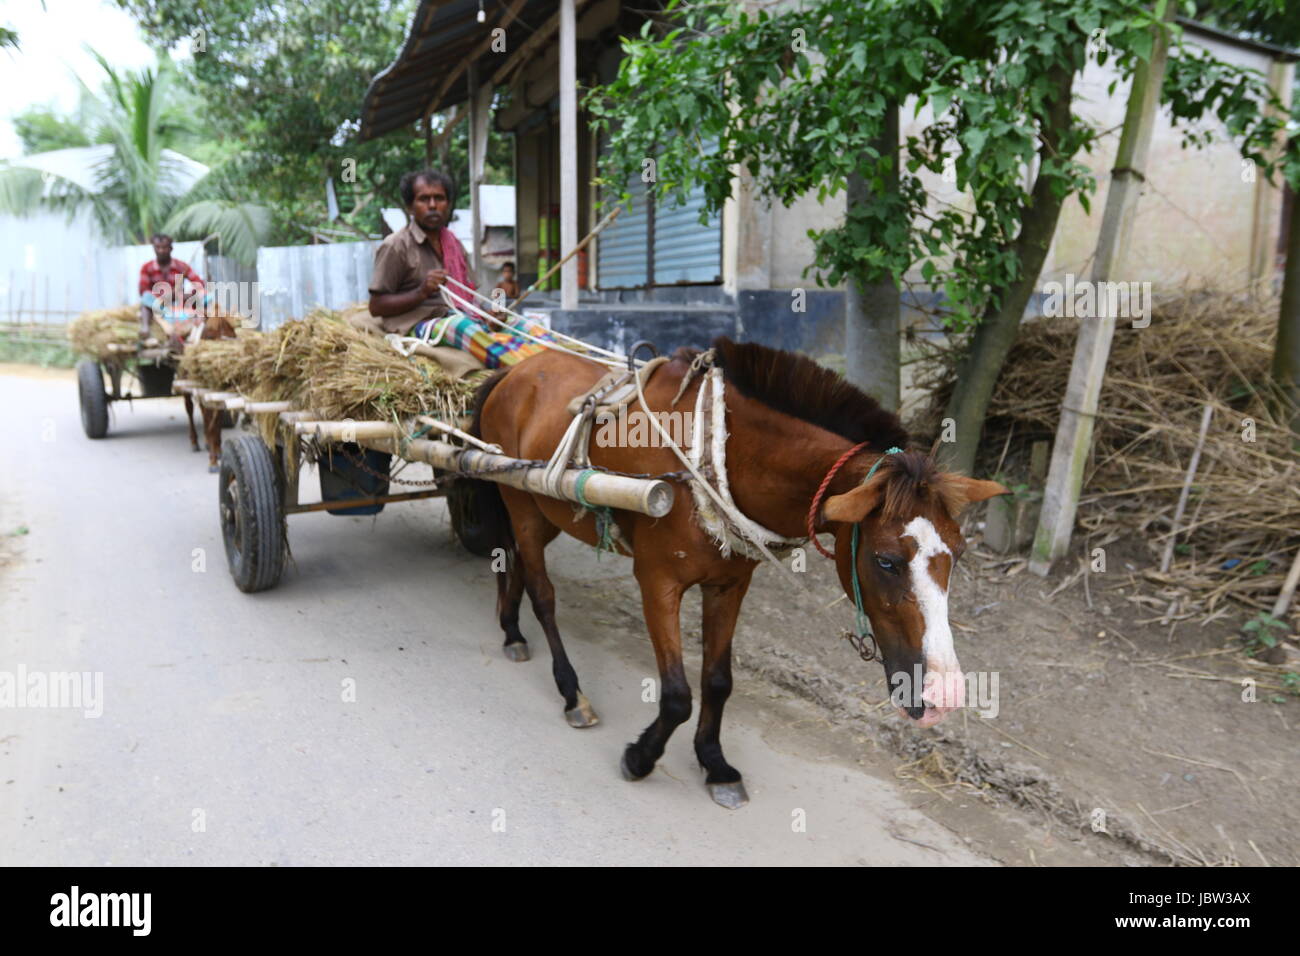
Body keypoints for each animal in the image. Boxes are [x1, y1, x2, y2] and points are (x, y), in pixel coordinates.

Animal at [182, 310, 238, 472]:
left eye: (231, 336)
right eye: (209, 337)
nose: (221, 366)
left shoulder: (218, 397)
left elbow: (216, 422)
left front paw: (218, 450)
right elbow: (211, 424)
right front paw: (213, 462)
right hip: (187, 389)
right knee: (190, 410)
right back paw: (194, 442)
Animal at [467, 337, 1007, 808]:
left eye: (958, 553)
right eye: (886, 561)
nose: (943, 696)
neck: (716, 454)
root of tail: (513, 372)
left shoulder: (730, 585)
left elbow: (718, 680)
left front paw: (715, 763)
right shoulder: (657, 582)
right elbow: (678, 695)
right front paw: (642, 757)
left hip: (544, 511)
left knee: (513, 563)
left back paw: (511, 629)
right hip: (521, 503)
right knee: (543, 594)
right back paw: (570, 691)